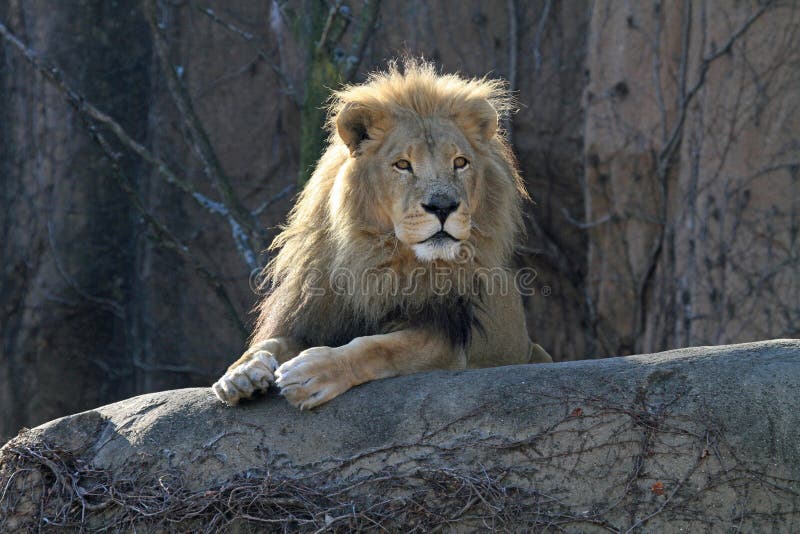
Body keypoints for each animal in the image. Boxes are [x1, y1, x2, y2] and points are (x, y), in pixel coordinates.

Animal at [212, 59, 552, 410]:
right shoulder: (315, 316)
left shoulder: (448, 338)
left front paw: (313, 371)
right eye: (403, 164)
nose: (443, 207)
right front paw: (241, 373)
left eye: (460, 162)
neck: (377, 256)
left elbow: (377, 346)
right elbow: (271, 343)